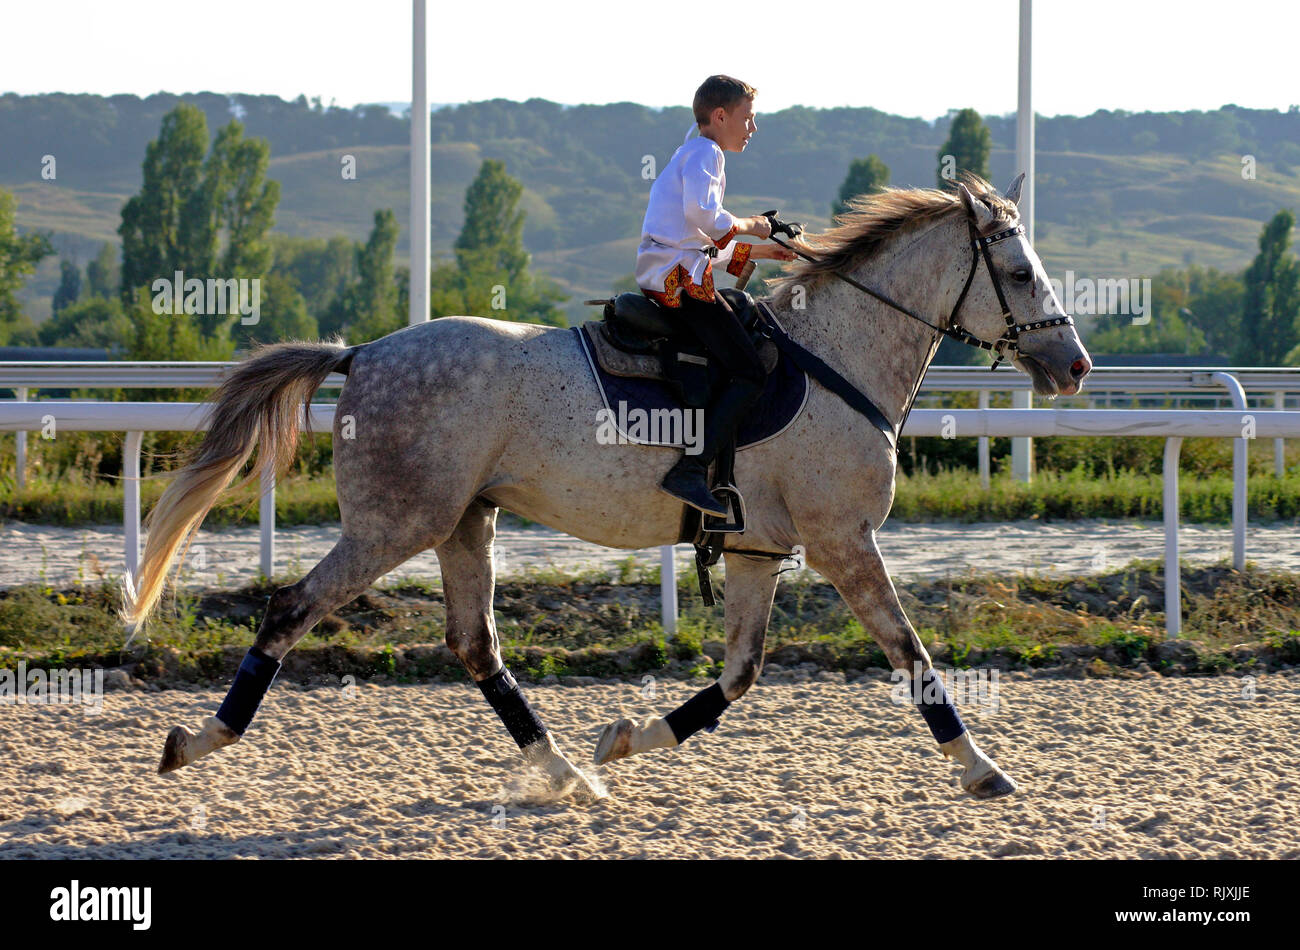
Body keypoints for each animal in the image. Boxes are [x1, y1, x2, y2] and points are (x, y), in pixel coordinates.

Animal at [122, 174, 1091, 801]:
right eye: (1018, 273)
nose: (1074, 364)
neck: (839, 356)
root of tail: (361, 352)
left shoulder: (756, 550)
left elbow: (739, 675)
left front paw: (629, 738)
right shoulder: (843, 541)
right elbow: (911, 654)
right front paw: (981, 769)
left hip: (464, 523)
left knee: (476, 648)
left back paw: (569, 773)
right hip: (393, 525)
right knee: (291, 610)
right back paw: (198, 741)